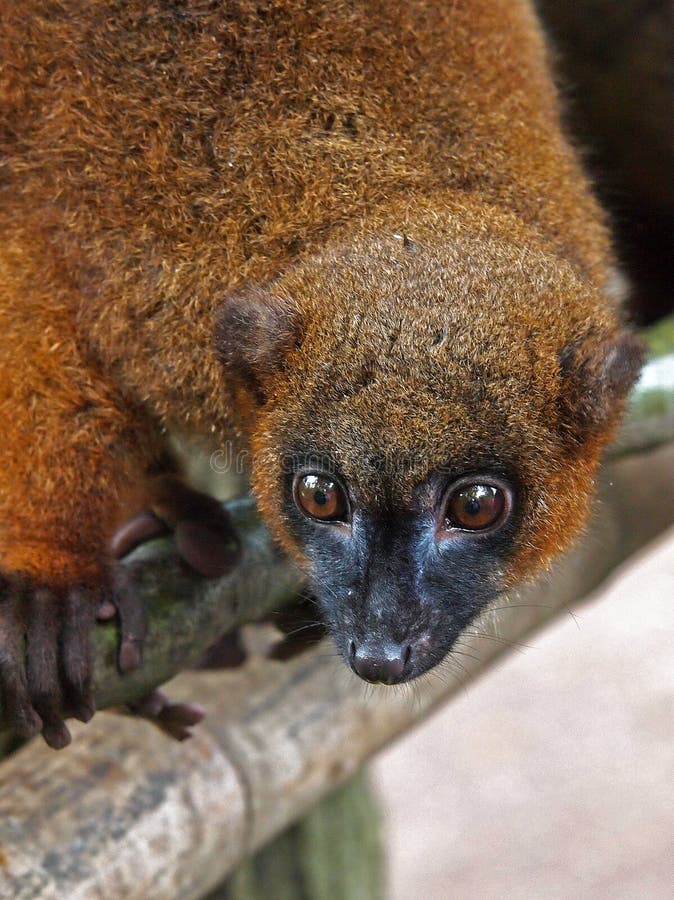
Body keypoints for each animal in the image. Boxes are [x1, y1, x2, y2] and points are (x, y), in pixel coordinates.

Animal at [0, 0, 642, 748]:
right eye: (320, 496)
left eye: (475, 506)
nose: (380, 651)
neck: (394, 196)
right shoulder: (140, 278)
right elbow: (33, 266)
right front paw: (52, 563)